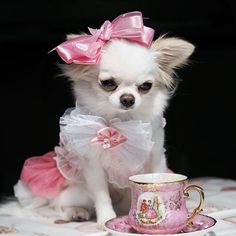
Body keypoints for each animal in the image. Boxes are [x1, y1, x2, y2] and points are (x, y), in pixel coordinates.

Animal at [0, 11, 195, 229]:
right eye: (108, 83)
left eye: (145, 86)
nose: (128, 99)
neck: (122, 123)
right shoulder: (92, 165)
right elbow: (101, 196)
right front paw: (106, 220)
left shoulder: (156, 156)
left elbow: (156, 180)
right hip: (77, 190)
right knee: (59, 205)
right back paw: (76, 212)